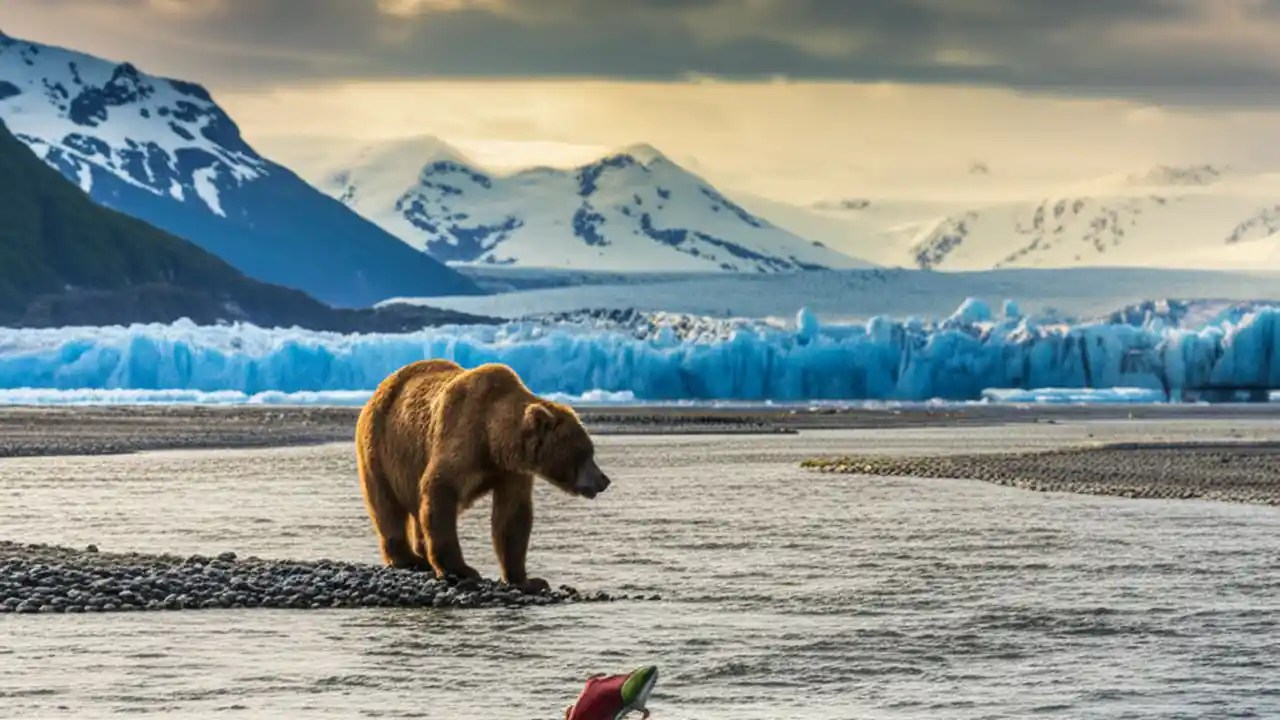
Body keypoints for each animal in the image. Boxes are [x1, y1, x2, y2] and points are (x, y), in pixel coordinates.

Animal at [355, 360, 611, 592]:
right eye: (585, 452)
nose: (604, 480)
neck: (491, 439)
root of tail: (381, 386)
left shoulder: (511, 471)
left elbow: (512, 517)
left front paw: (528, 580)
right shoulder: (460, 439)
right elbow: (439, 491)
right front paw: (462, 570)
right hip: (379, 447)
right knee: (387, 506)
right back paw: (408, 559)